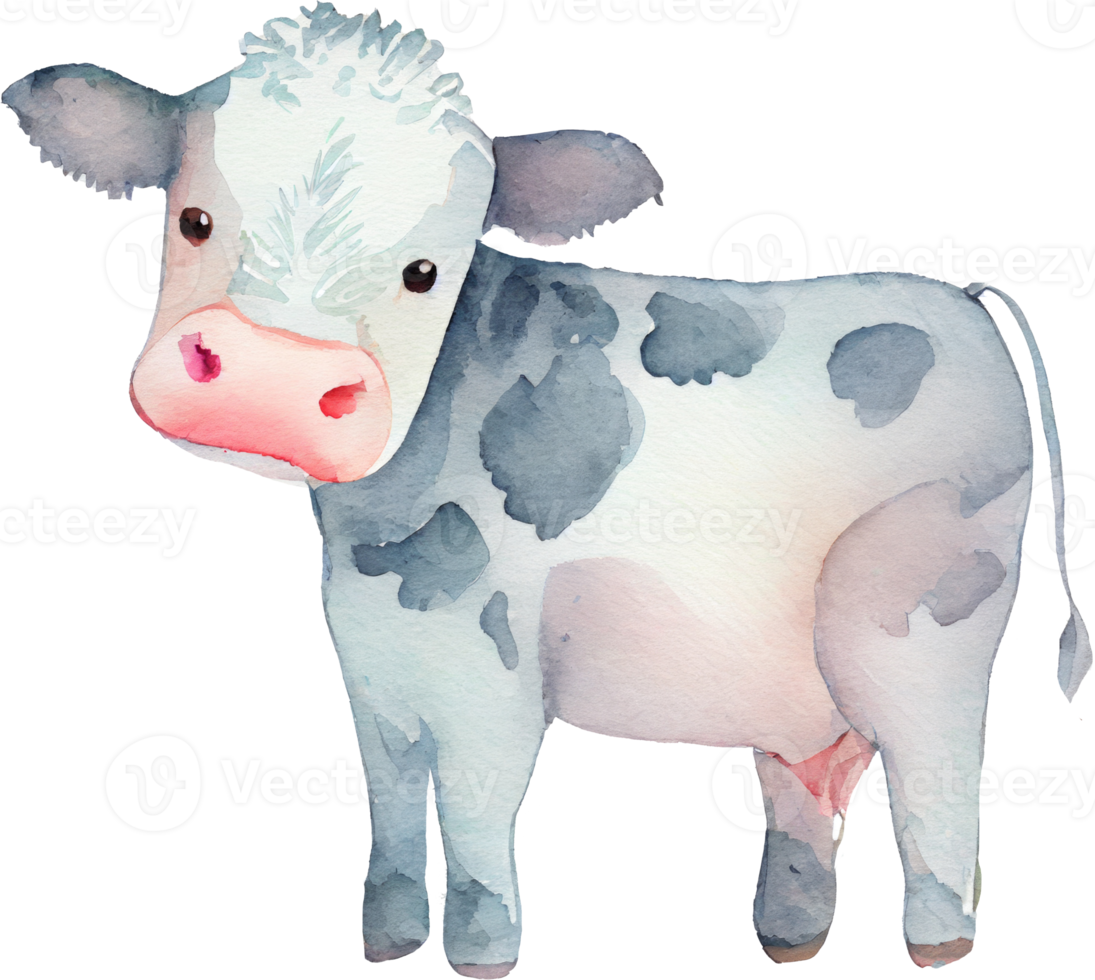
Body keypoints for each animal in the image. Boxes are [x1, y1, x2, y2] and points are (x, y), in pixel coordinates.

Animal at [3, 4, 1089, 976]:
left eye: (425, 272)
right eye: (191, 221)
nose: (271, 380)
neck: (381, 554)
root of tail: (956, 294)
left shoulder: (492, 675)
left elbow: (477, 816)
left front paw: (479, 959)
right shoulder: (370, 668)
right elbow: (392, 812)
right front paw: (387, 945)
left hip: (920, 614)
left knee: (930, 774)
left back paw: (937, 946)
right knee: (808, 784)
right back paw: (788, 941)